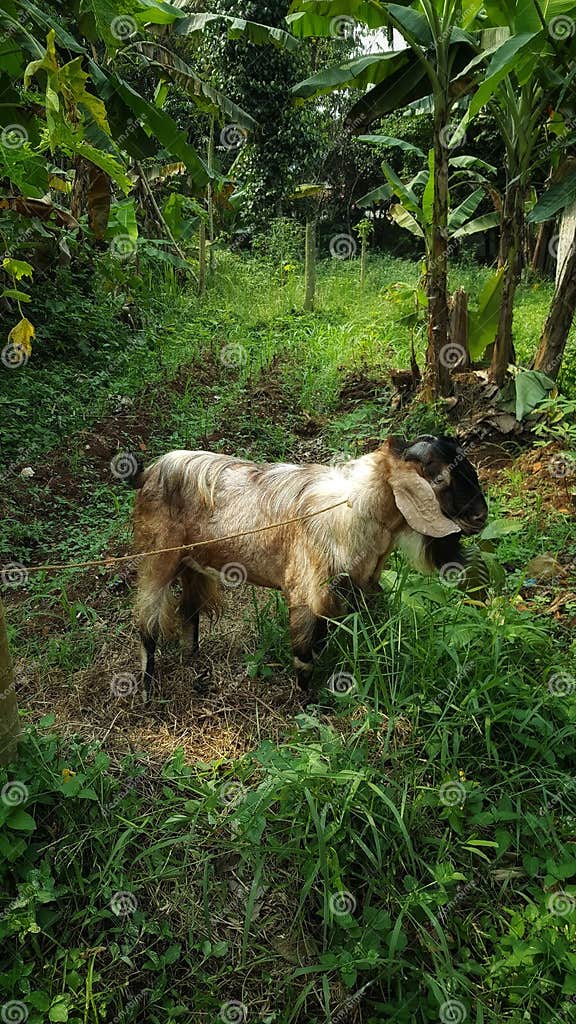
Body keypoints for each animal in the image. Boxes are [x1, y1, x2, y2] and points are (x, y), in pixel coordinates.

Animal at [131, 434, 488, 699]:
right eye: (439, 478)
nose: (480, 516)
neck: (354, 508)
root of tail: (151, 471)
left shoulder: (353, 588)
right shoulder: (308, 592)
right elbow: (305, 655)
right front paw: (305, 704)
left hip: (192, 563)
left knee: (189, 612)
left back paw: (194, 660)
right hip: (158, 558)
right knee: (148, 620)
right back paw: (147, 687)